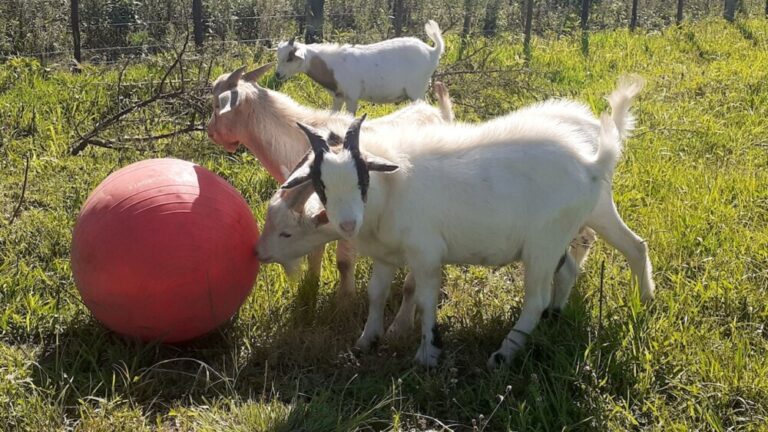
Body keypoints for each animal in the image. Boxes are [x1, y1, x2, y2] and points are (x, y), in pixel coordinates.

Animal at [206, 63, 453, 299]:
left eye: (217, 105)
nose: (210, 132)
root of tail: (439, 113)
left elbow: (343, 261)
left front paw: (345, 299)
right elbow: (314, 250)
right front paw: (311, 285)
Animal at [256, 76, 654, 367]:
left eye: (362, 178)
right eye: (321, 184)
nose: (348, 224)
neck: (392, 190)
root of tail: (592, 162)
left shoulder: (426, 255)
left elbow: (425, 298)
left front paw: (426, 354)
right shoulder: (386, 256)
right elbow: (376, 294)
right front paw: (366, 341)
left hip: (544, 244)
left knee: (536, 298)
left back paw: (503, 354)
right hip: (584, 221)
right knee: (629, 248)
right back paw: (636, 304)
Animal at [274, 20, 444, 114]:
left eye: (289, 58)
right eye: (279, 57)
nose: (277, 75)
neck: (332, 66)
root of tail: (433, 52)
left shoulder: (352, 96)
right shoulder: (338, 96)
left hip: (417, 90)